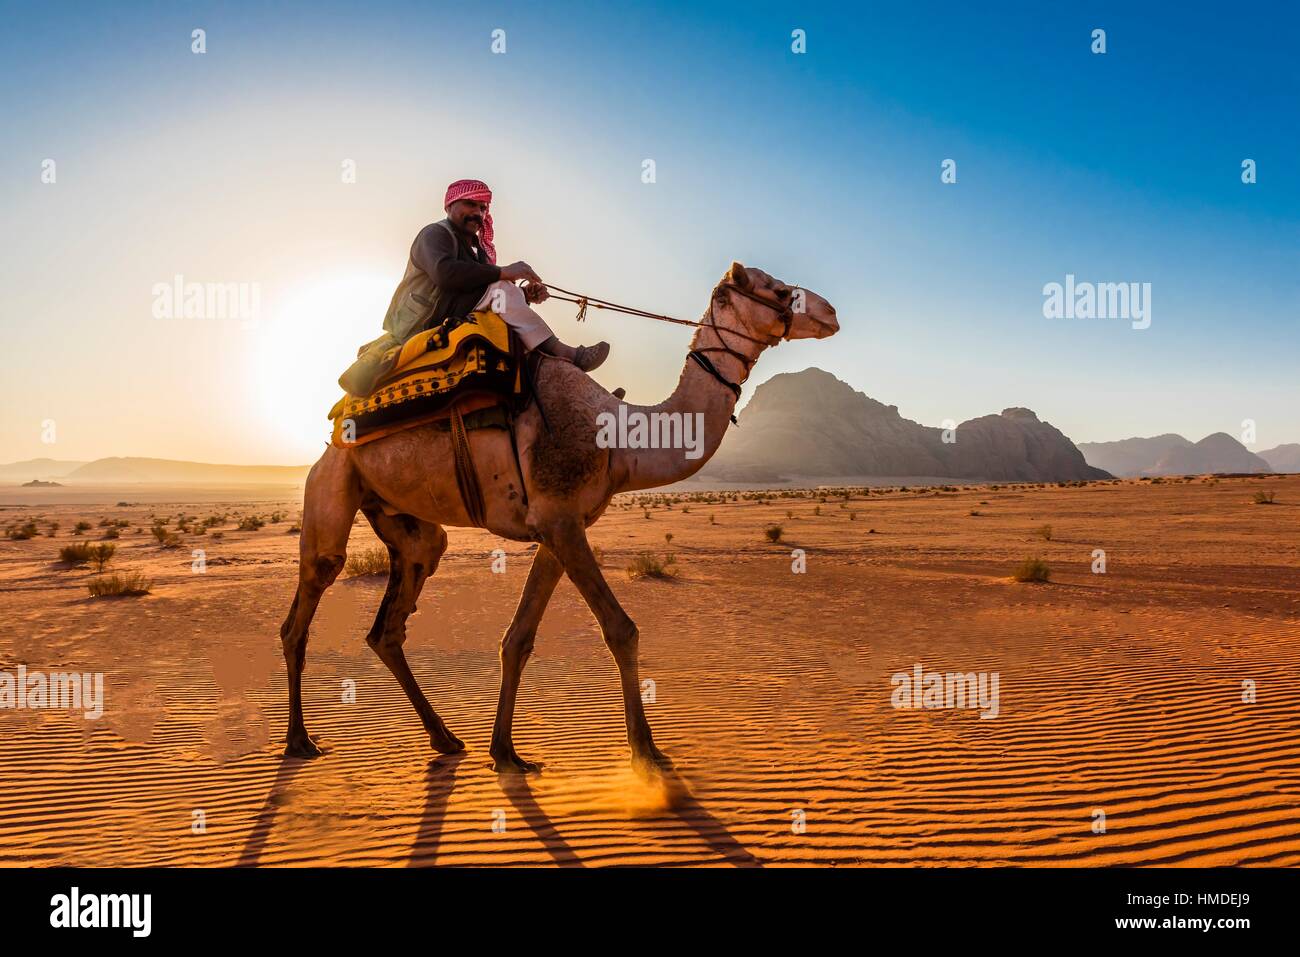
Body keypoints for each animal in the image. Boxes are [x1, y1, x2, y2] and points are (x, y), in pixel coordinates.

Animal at [280, 262, 839, 775]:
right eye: (776, 290)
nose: (830, 313)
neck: (620, 441)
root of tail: (333, 428)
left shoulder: (558, 526)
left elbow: (518, 639)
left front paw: (505, 752)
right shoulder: (561, 520)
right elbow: (621, 629)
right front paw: (646, 753)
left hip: (405, 522)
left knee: (392, 621)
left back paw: (446, 739)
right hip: (333, 481)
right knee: (309, 597)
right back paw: (300, 741)